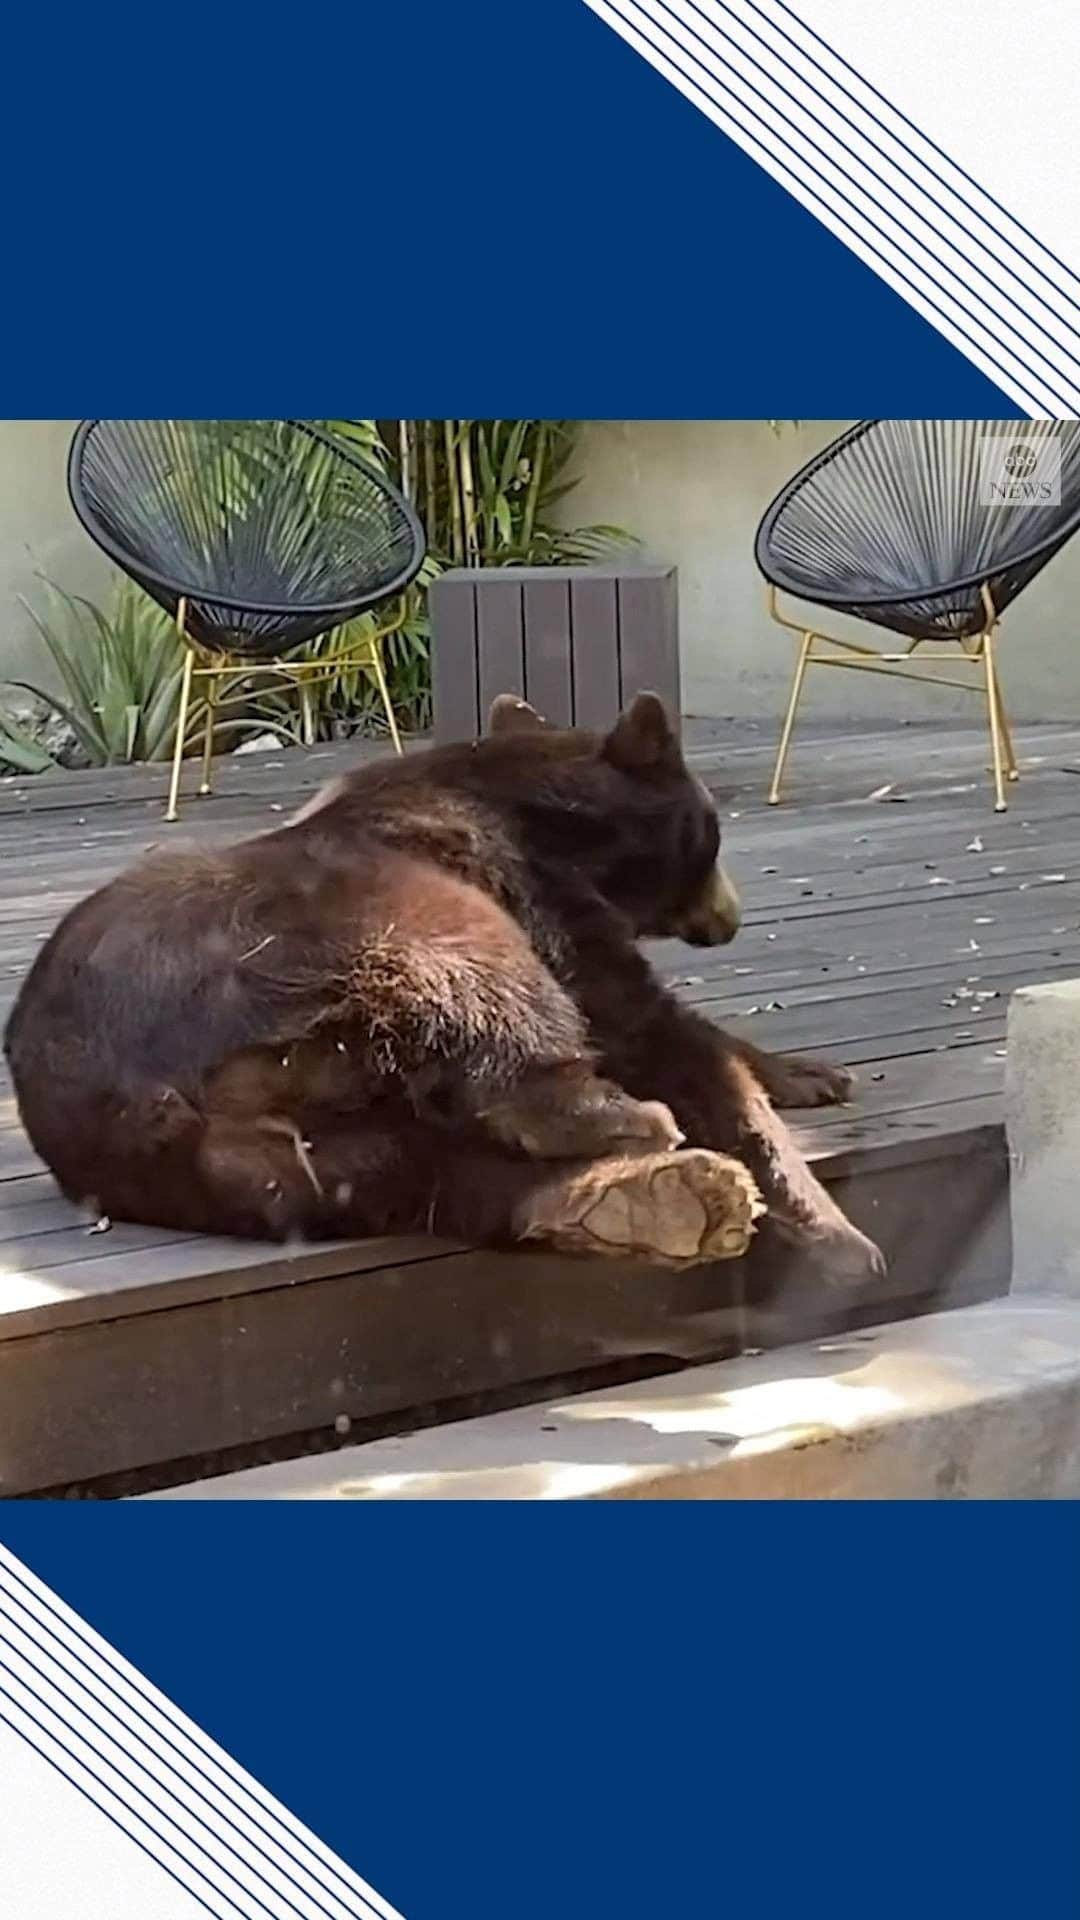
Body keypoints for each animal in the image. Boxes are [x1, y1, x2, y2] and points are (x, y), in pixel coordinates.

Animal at [3, 693, 883, 1279]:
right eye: (714, 830)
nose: (730, 917)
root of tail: (138, 1100)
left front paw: (815, 1073)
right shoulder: (544, 898)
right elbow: (651, 1027)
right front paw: (837, 1228)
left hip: (286, 1158)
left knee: (438, 1175)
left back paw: (650, 1200)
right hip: (333, 936)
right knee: (487, 998)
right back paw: (628, 1119)